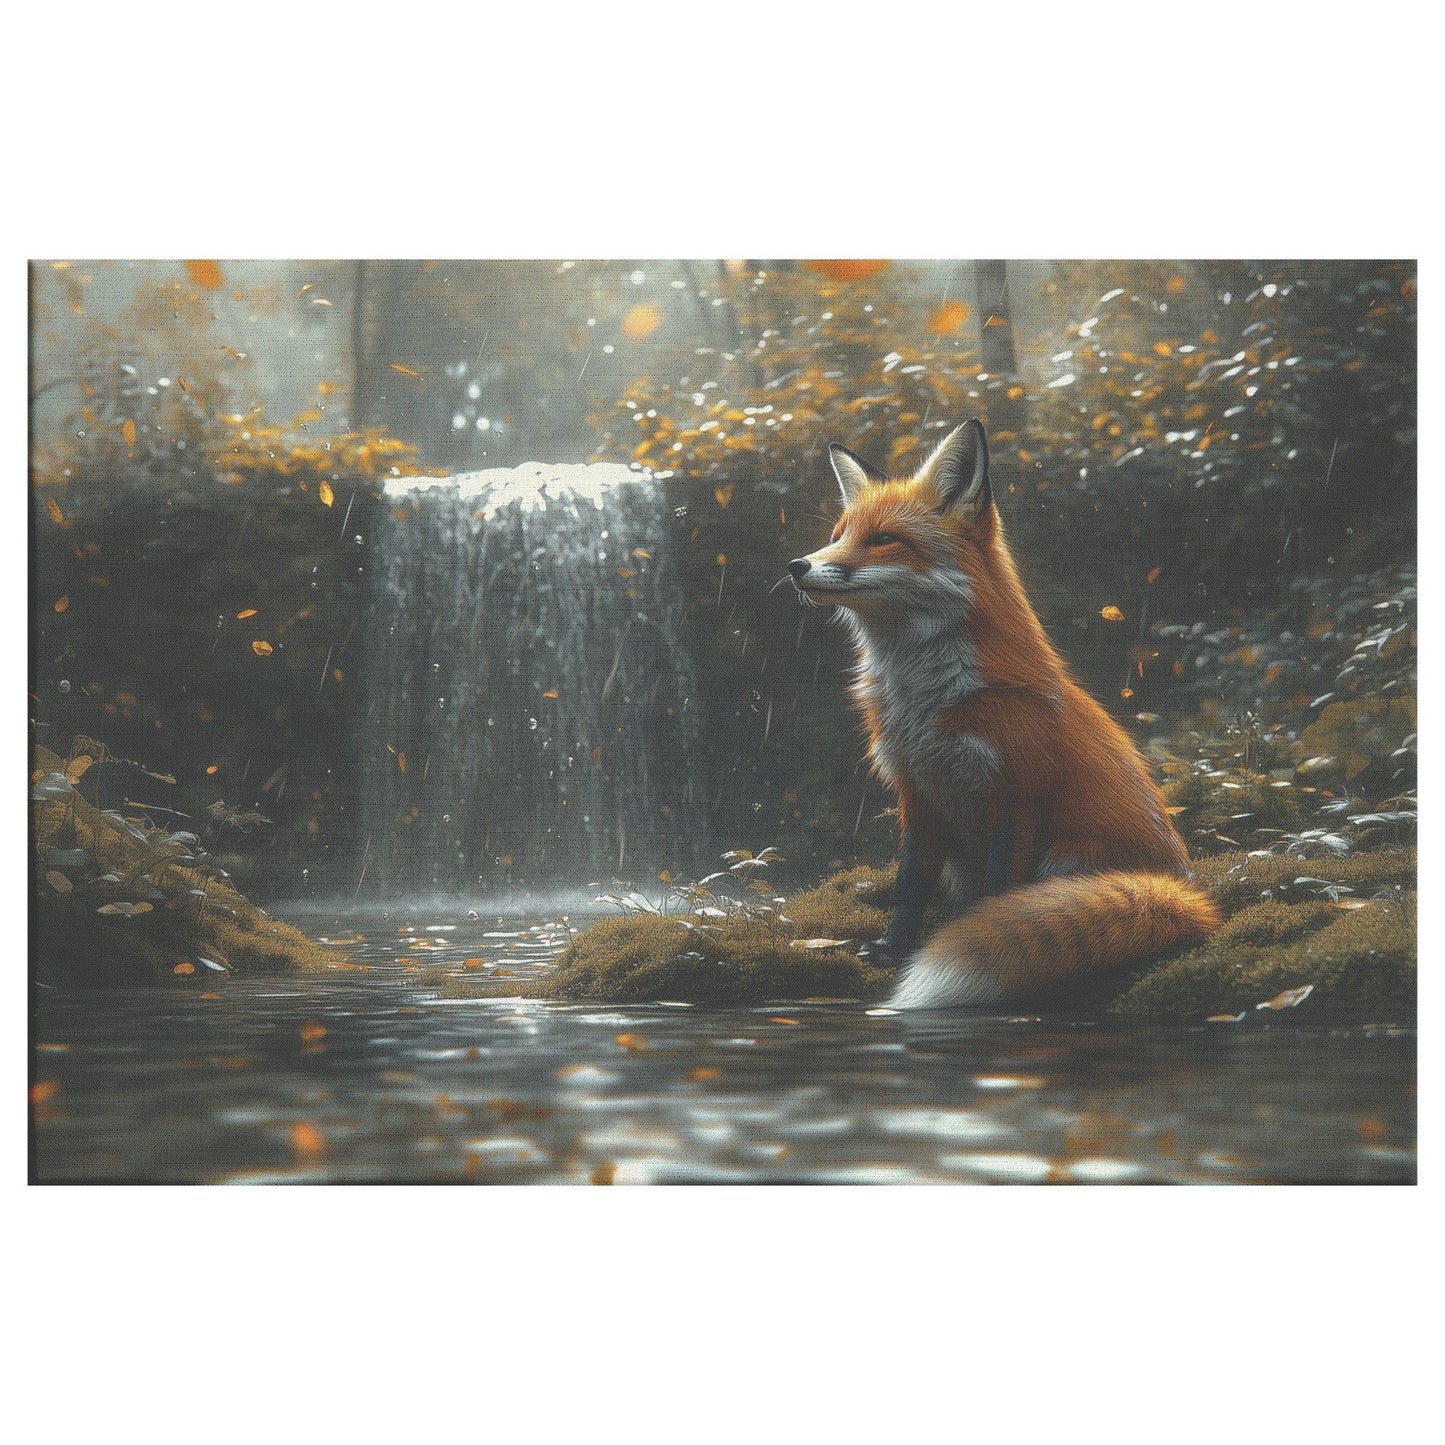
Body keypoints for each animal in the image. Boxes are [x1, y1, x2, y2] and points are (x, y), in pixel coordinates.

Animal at [788, 417, 1220, 1009]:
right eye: (839, 534)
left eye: (883, 539)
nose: (796, 566)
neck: (925, 704)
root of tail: (1185, 889)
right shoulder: (918, 792)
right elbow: (908, 885)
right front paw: (893, 950)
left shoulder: (1016, 793)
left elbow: (997, 896)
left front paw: (972, 938)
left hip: (1066, 855)